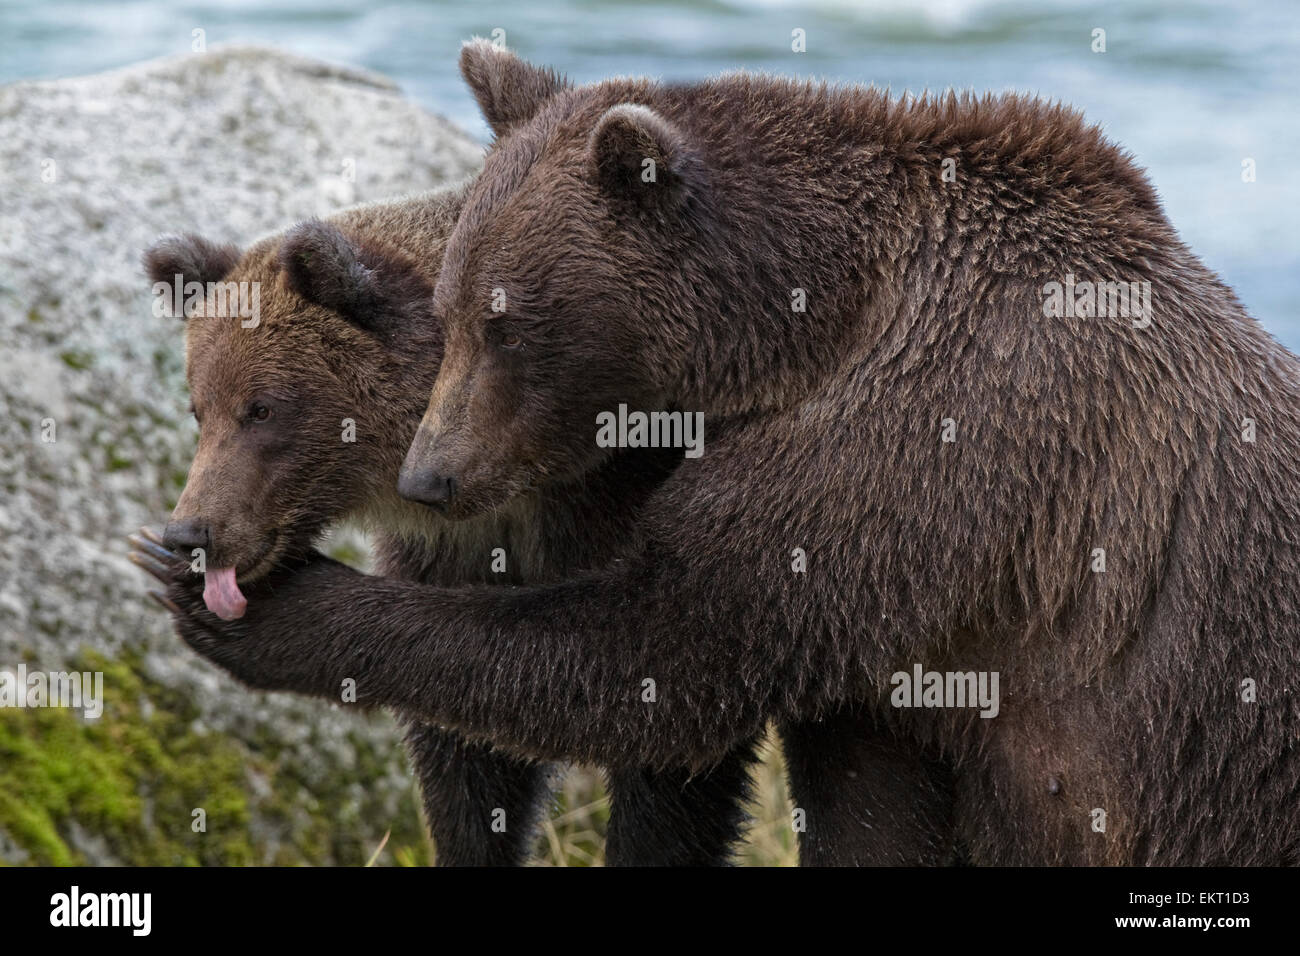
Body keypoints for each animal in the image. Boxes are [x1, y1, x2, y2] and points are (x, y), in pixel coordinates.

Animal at [131, 184, 768, 865]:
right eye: (199, 409)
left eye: (262, 409)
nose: (188, 536)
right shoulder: (457, 547)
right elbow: (465, 739)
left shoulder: (617, 499)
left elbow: (660, 727)